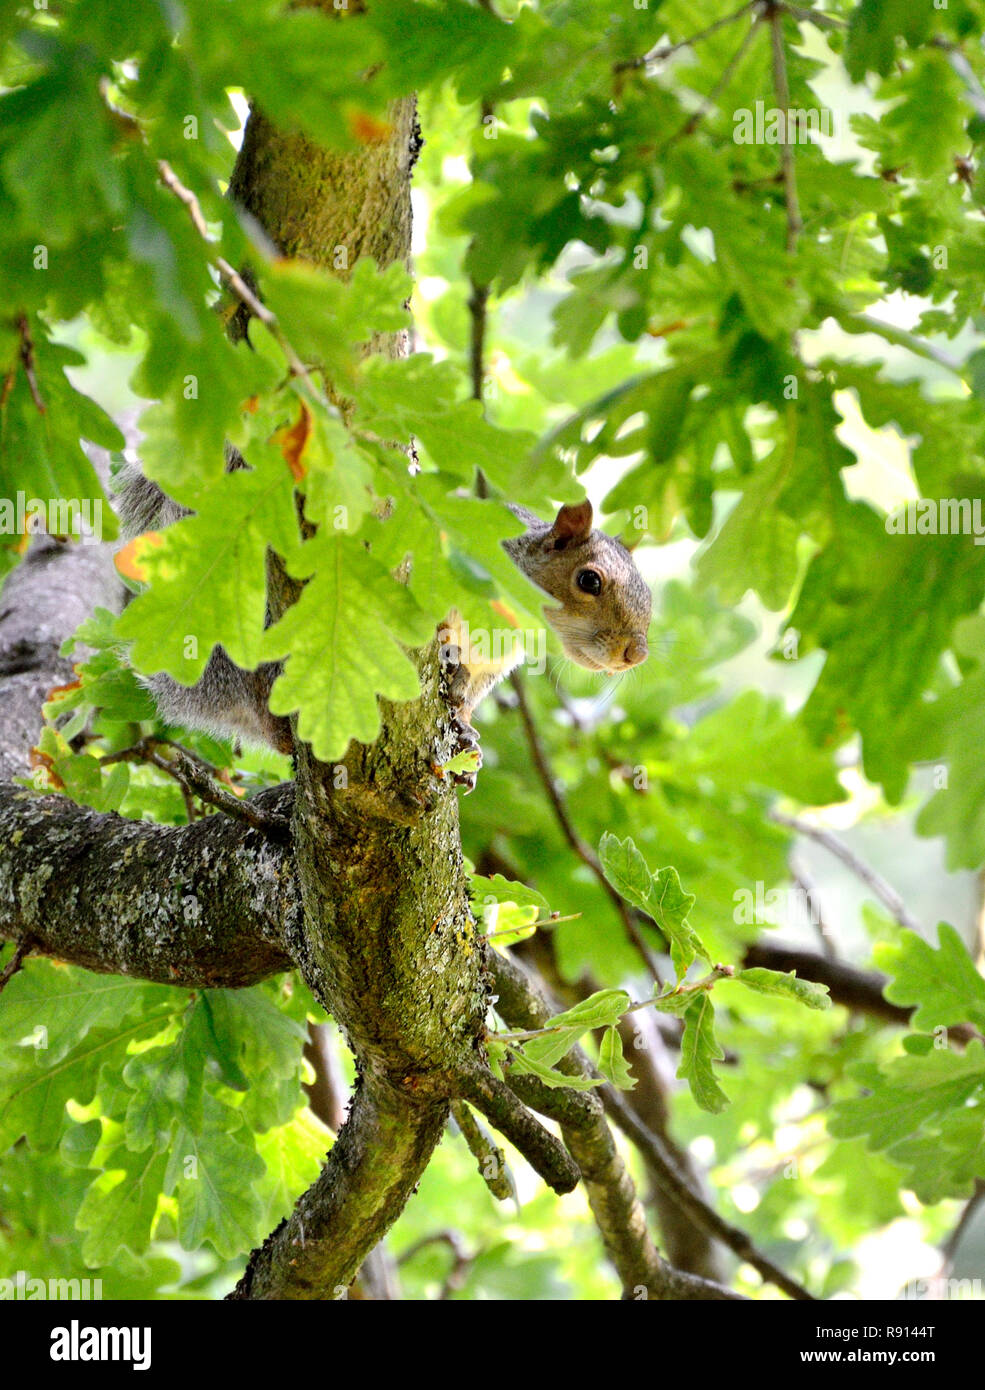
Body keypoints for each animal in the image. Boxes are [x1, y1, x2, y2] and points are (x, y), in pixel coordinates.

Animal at [114, 468, 652, 781]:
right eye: (589, 580)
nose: (636, 654)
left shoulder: (493, 665)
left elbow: (470, 700)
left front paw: (467, 735)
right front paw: (444, 646)